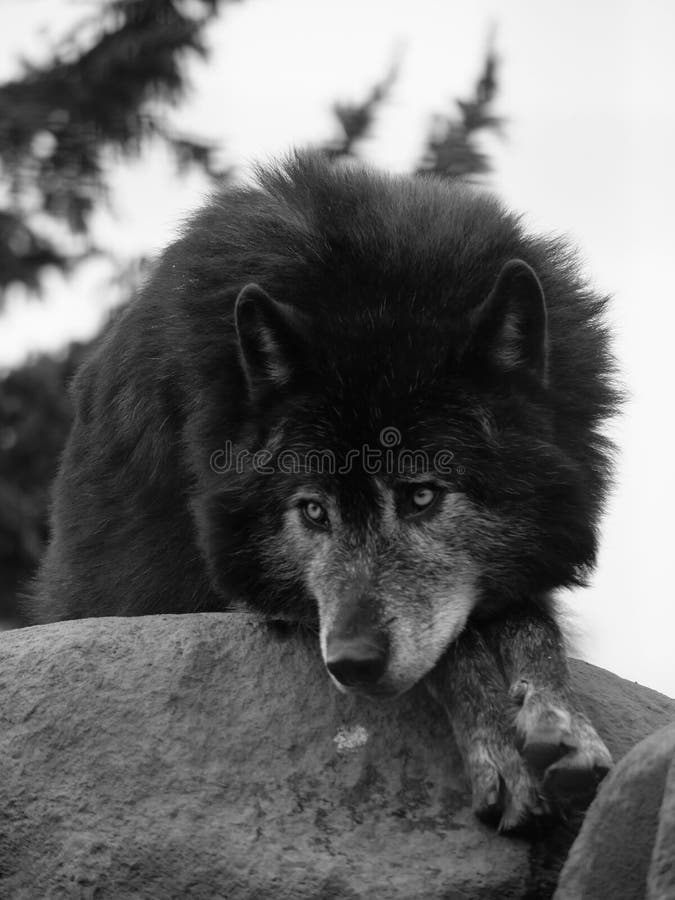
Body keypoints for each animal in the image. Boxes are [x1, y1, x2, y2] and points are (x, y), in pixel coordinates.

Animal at [30, 152, 620, 830]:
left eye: (421, 496)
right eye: (313, 511)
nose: (353, 662)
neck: (378, 293)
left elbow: (530, 621)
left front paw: (560, 720)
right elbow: (459, 641)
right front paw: (501, 747)